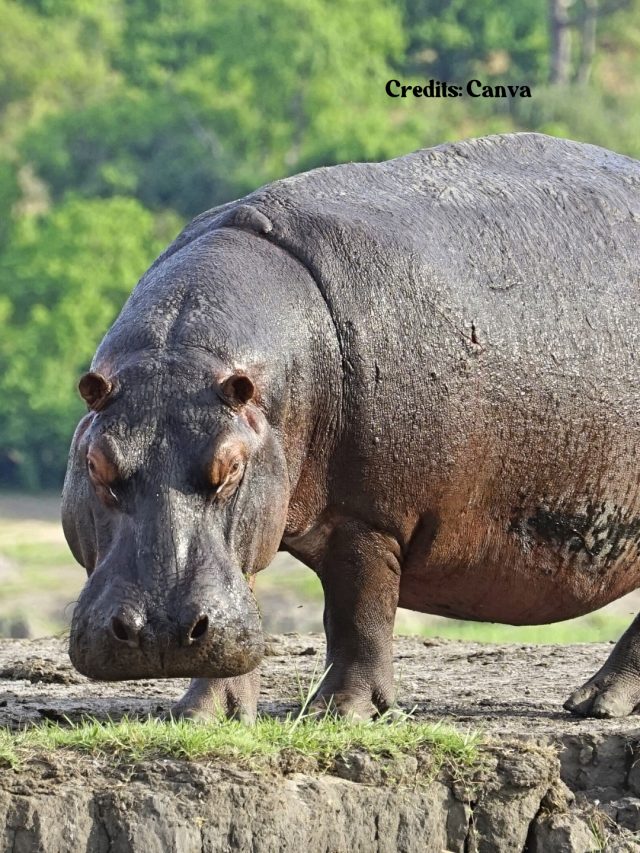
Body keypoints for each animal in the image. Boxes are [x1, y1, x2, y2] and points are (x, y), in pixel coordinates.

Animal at [62, 132, 640, 721]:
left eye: (231, 468)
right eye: (96, 464)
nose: (159, 630)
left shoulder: (370, 517)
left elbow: (359, 613)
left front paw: (341, 712)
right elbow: (242, 595)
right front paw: (201, 716)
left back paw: (598, 703)